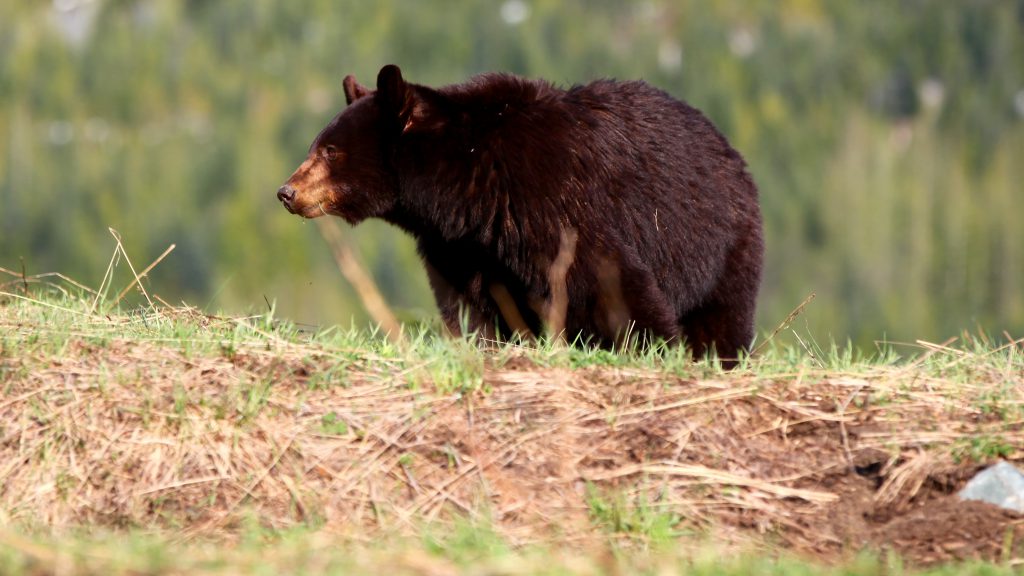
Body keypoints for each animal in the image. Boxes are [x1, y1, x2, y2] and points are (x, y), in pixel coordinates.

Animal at [277, 65, 763, 365]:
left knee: (721, 314)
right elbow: (472, 306)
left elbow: (612, 283)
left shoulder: (556, 205)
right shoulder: (461, 246)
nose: (287, 191)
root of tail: (730, 150)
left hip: (716, 242)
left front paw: (651, 345)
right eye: (317, 144)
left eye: (330, 150)